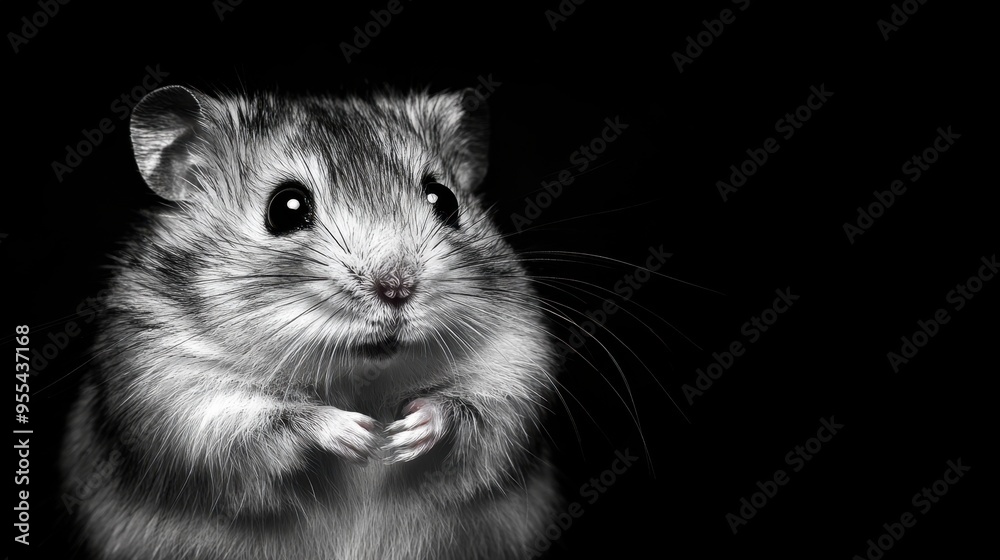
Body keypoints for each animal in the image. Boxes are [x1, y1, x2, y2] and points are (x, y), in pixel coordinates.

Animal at [60, 85, 560, 559]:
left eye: (446, 199)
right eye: (286, 207)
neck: (361, 376)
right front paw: (360, 435)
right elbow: (267, 421)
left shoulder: (513, 367)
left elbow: (475, 412)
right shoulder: (176, 392)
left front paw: (404, 433)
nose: (397, 287)